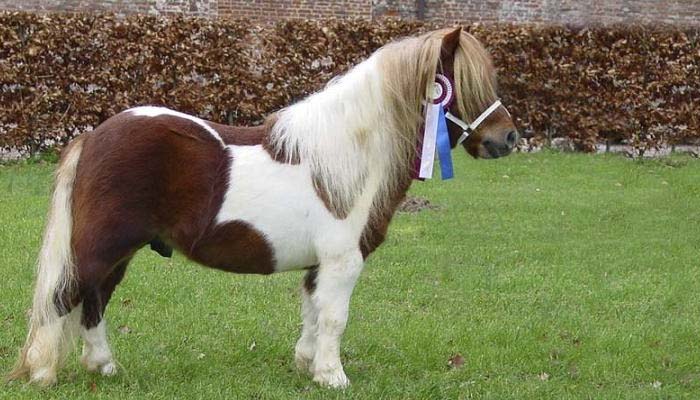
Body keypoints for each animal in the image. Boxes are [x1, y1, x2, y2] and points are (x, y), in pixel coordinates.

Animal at [8, 26, 518, 388]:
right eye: (465, 83)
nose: (508, 138)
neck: (345, 154)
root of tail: (94, 136)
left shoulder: (319, 265)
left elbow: (312, 311)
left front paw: (308, 365)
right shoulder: (342, 260)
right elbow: (335, 316)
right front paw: (334, 377)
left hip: (119, 251)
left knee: (95, 299)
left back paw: (104, 366)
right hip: (102, 247)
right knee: (65, 297)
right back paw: (43, 374)